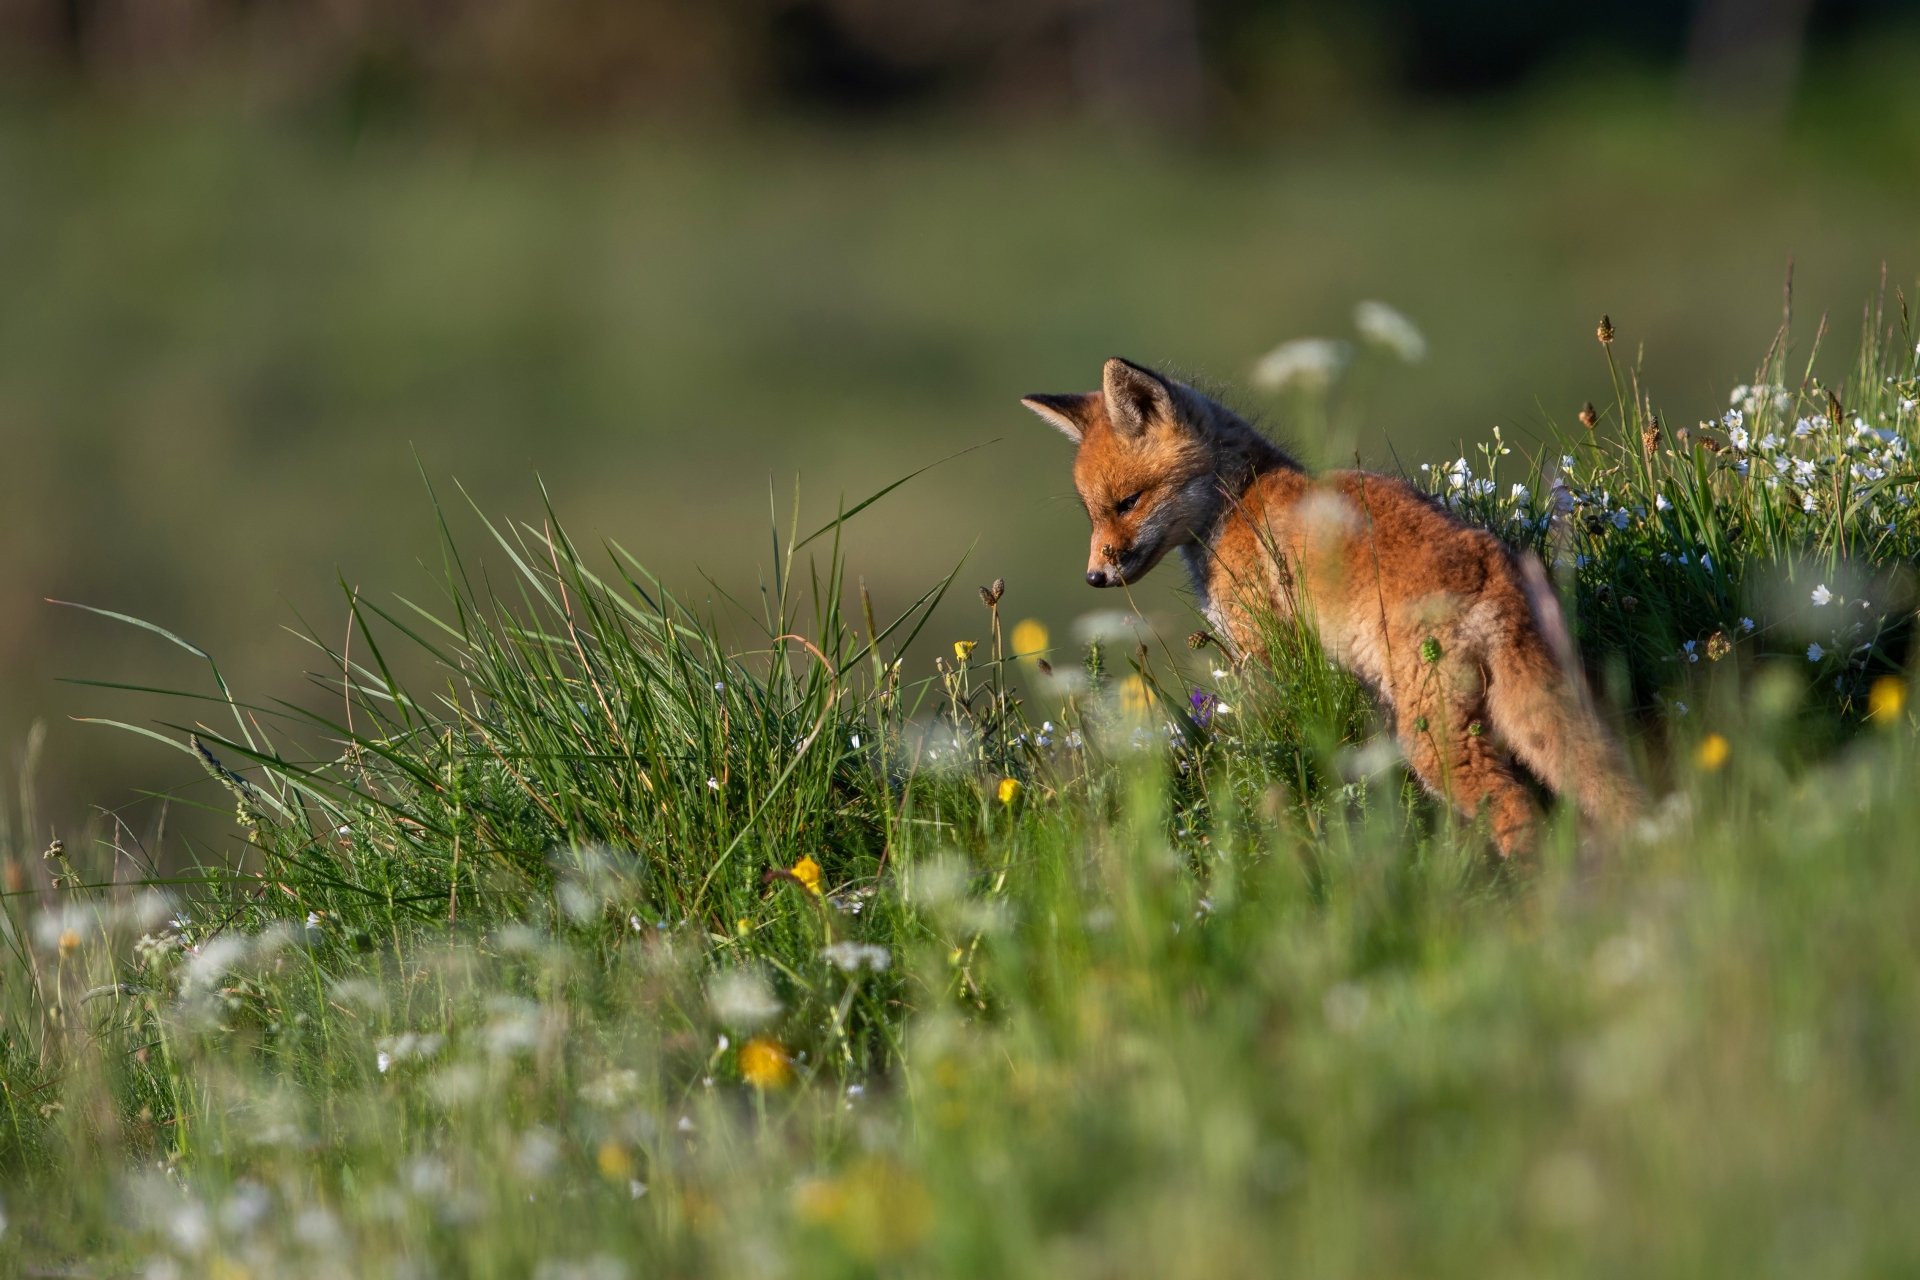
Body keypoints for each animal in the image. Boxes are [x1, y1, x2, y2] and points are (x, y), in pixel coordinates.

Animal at [1022, 356, 1641, 857]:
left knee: (1515, 811)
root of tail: (1494, 573)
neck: (1237, 500)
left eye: (1128, 502)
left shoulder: (1266, 650)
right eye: (1092, 513)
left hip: (1437, 741)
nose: (1095, 577)